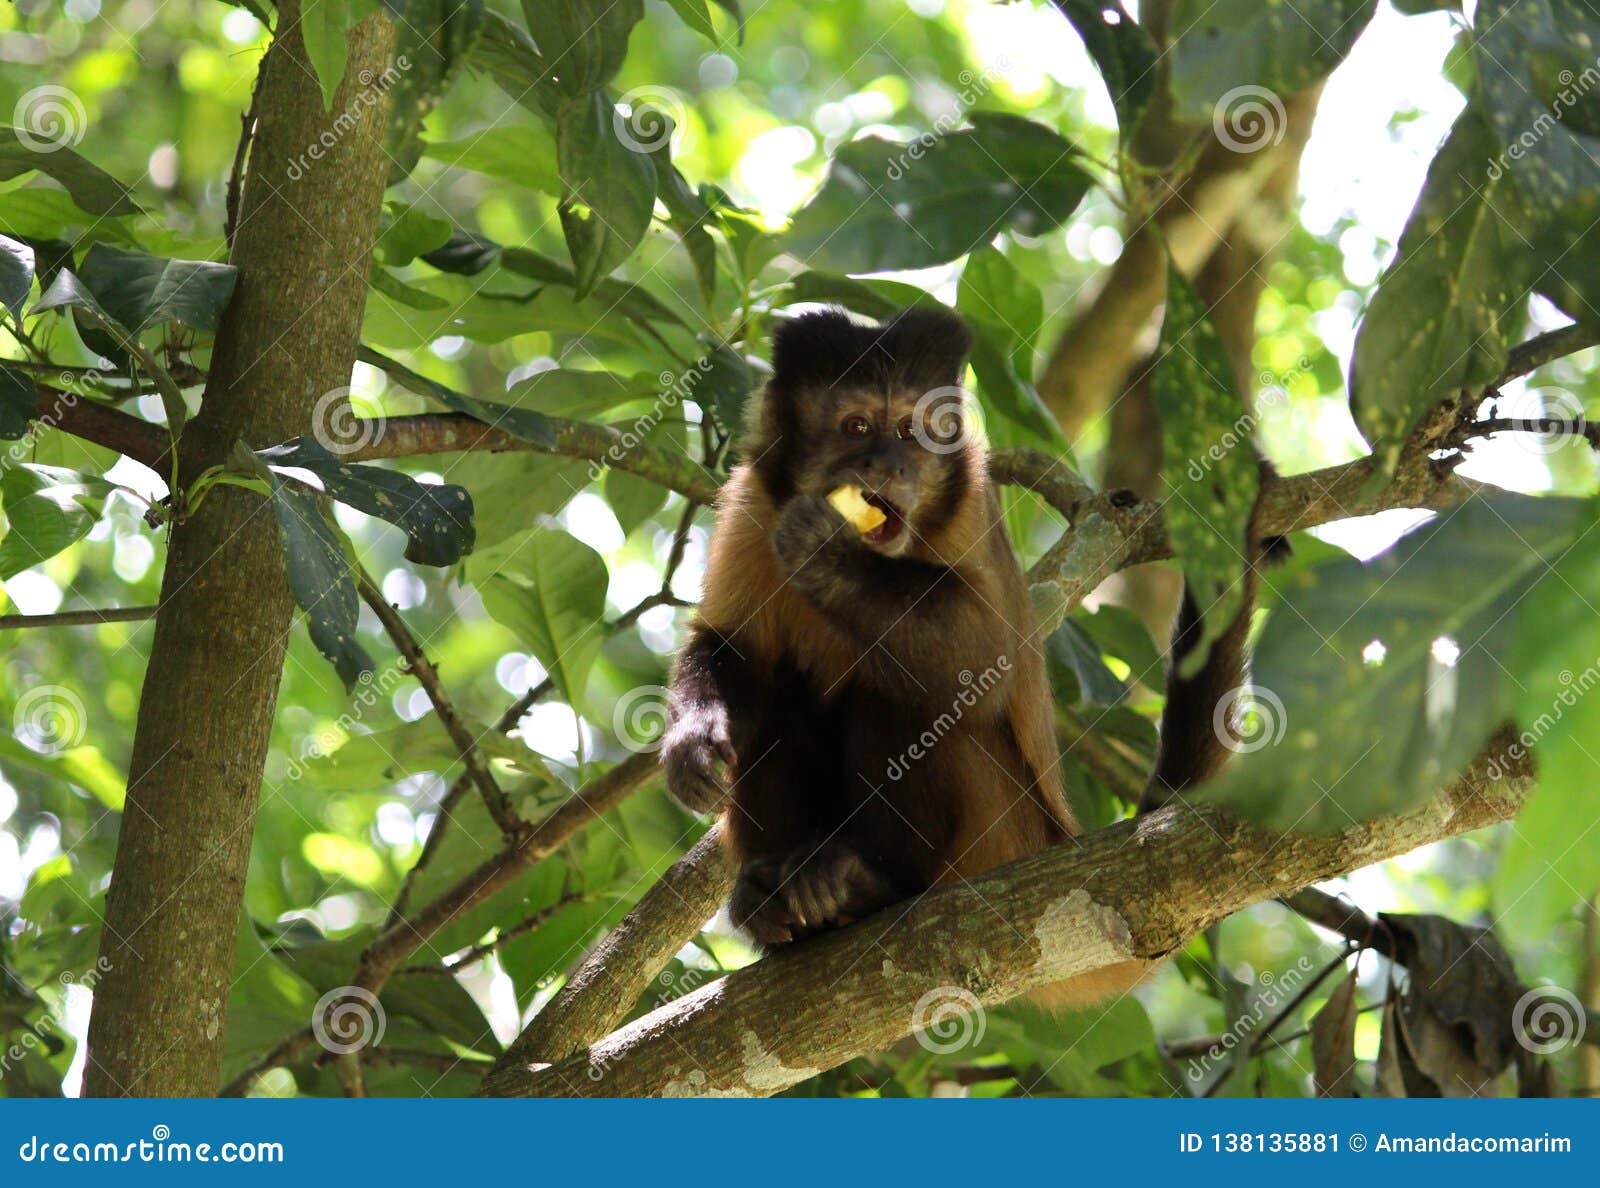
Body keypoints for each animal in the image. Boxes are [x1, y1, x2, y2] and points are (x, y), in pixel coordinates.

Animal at [661, 307, 1147, 1006]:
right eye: (858, 427)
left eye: (912, 433)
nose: (888, 467)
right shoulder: (752, 499)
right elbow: (730, 647)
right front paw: (692, 740)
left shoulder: (972, 504)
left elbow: (986, 661)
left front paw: (829, 557)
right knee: (776, 693)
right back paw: (774, 898)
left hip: (1000, 837)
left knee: (907, 694)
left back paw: (874, 881)